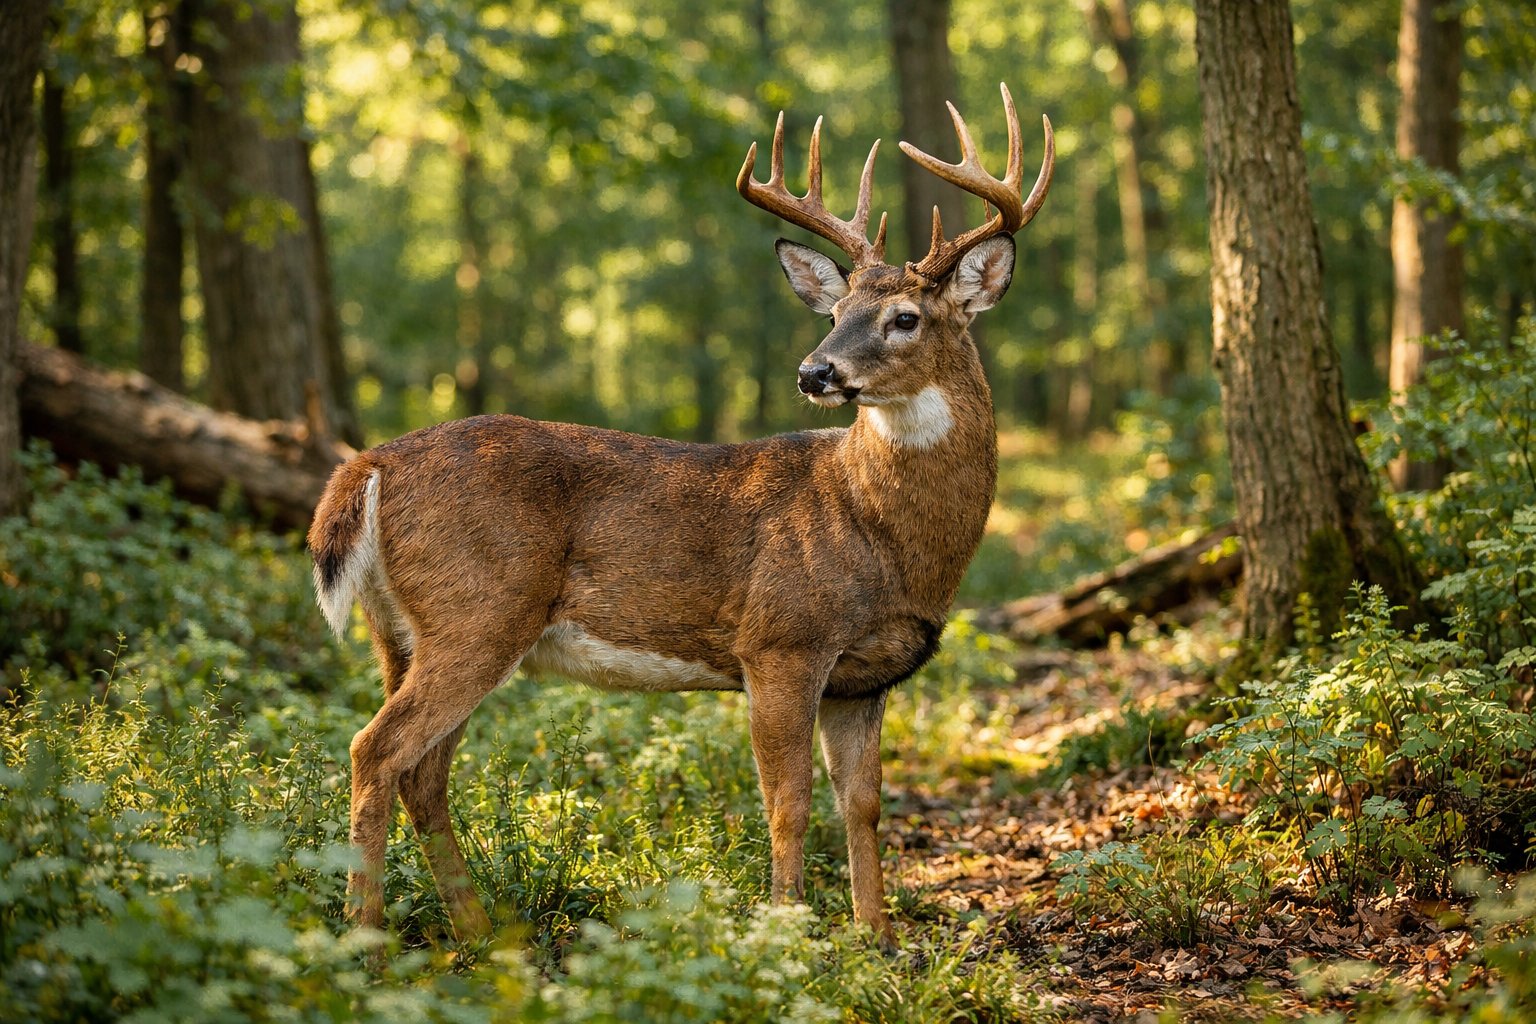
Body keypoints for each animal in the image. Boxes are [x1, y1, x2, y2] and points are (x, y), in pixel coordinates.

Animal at [308, 83, 1053, 948]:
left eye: (906, 317)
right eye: (833, 312)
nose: (814, 371)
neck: (879, 531)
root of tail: (368, 464)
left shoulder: (865, 676)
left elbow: (863, 806)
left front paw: (878, 940)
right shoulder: (781, 640)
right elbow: (788, 803)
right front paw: (787, 932)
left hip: (400, 630)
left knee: (421, 769)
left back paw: (486, 933)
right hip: (477, 611)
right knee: (377, 749)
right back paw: (370, 944)